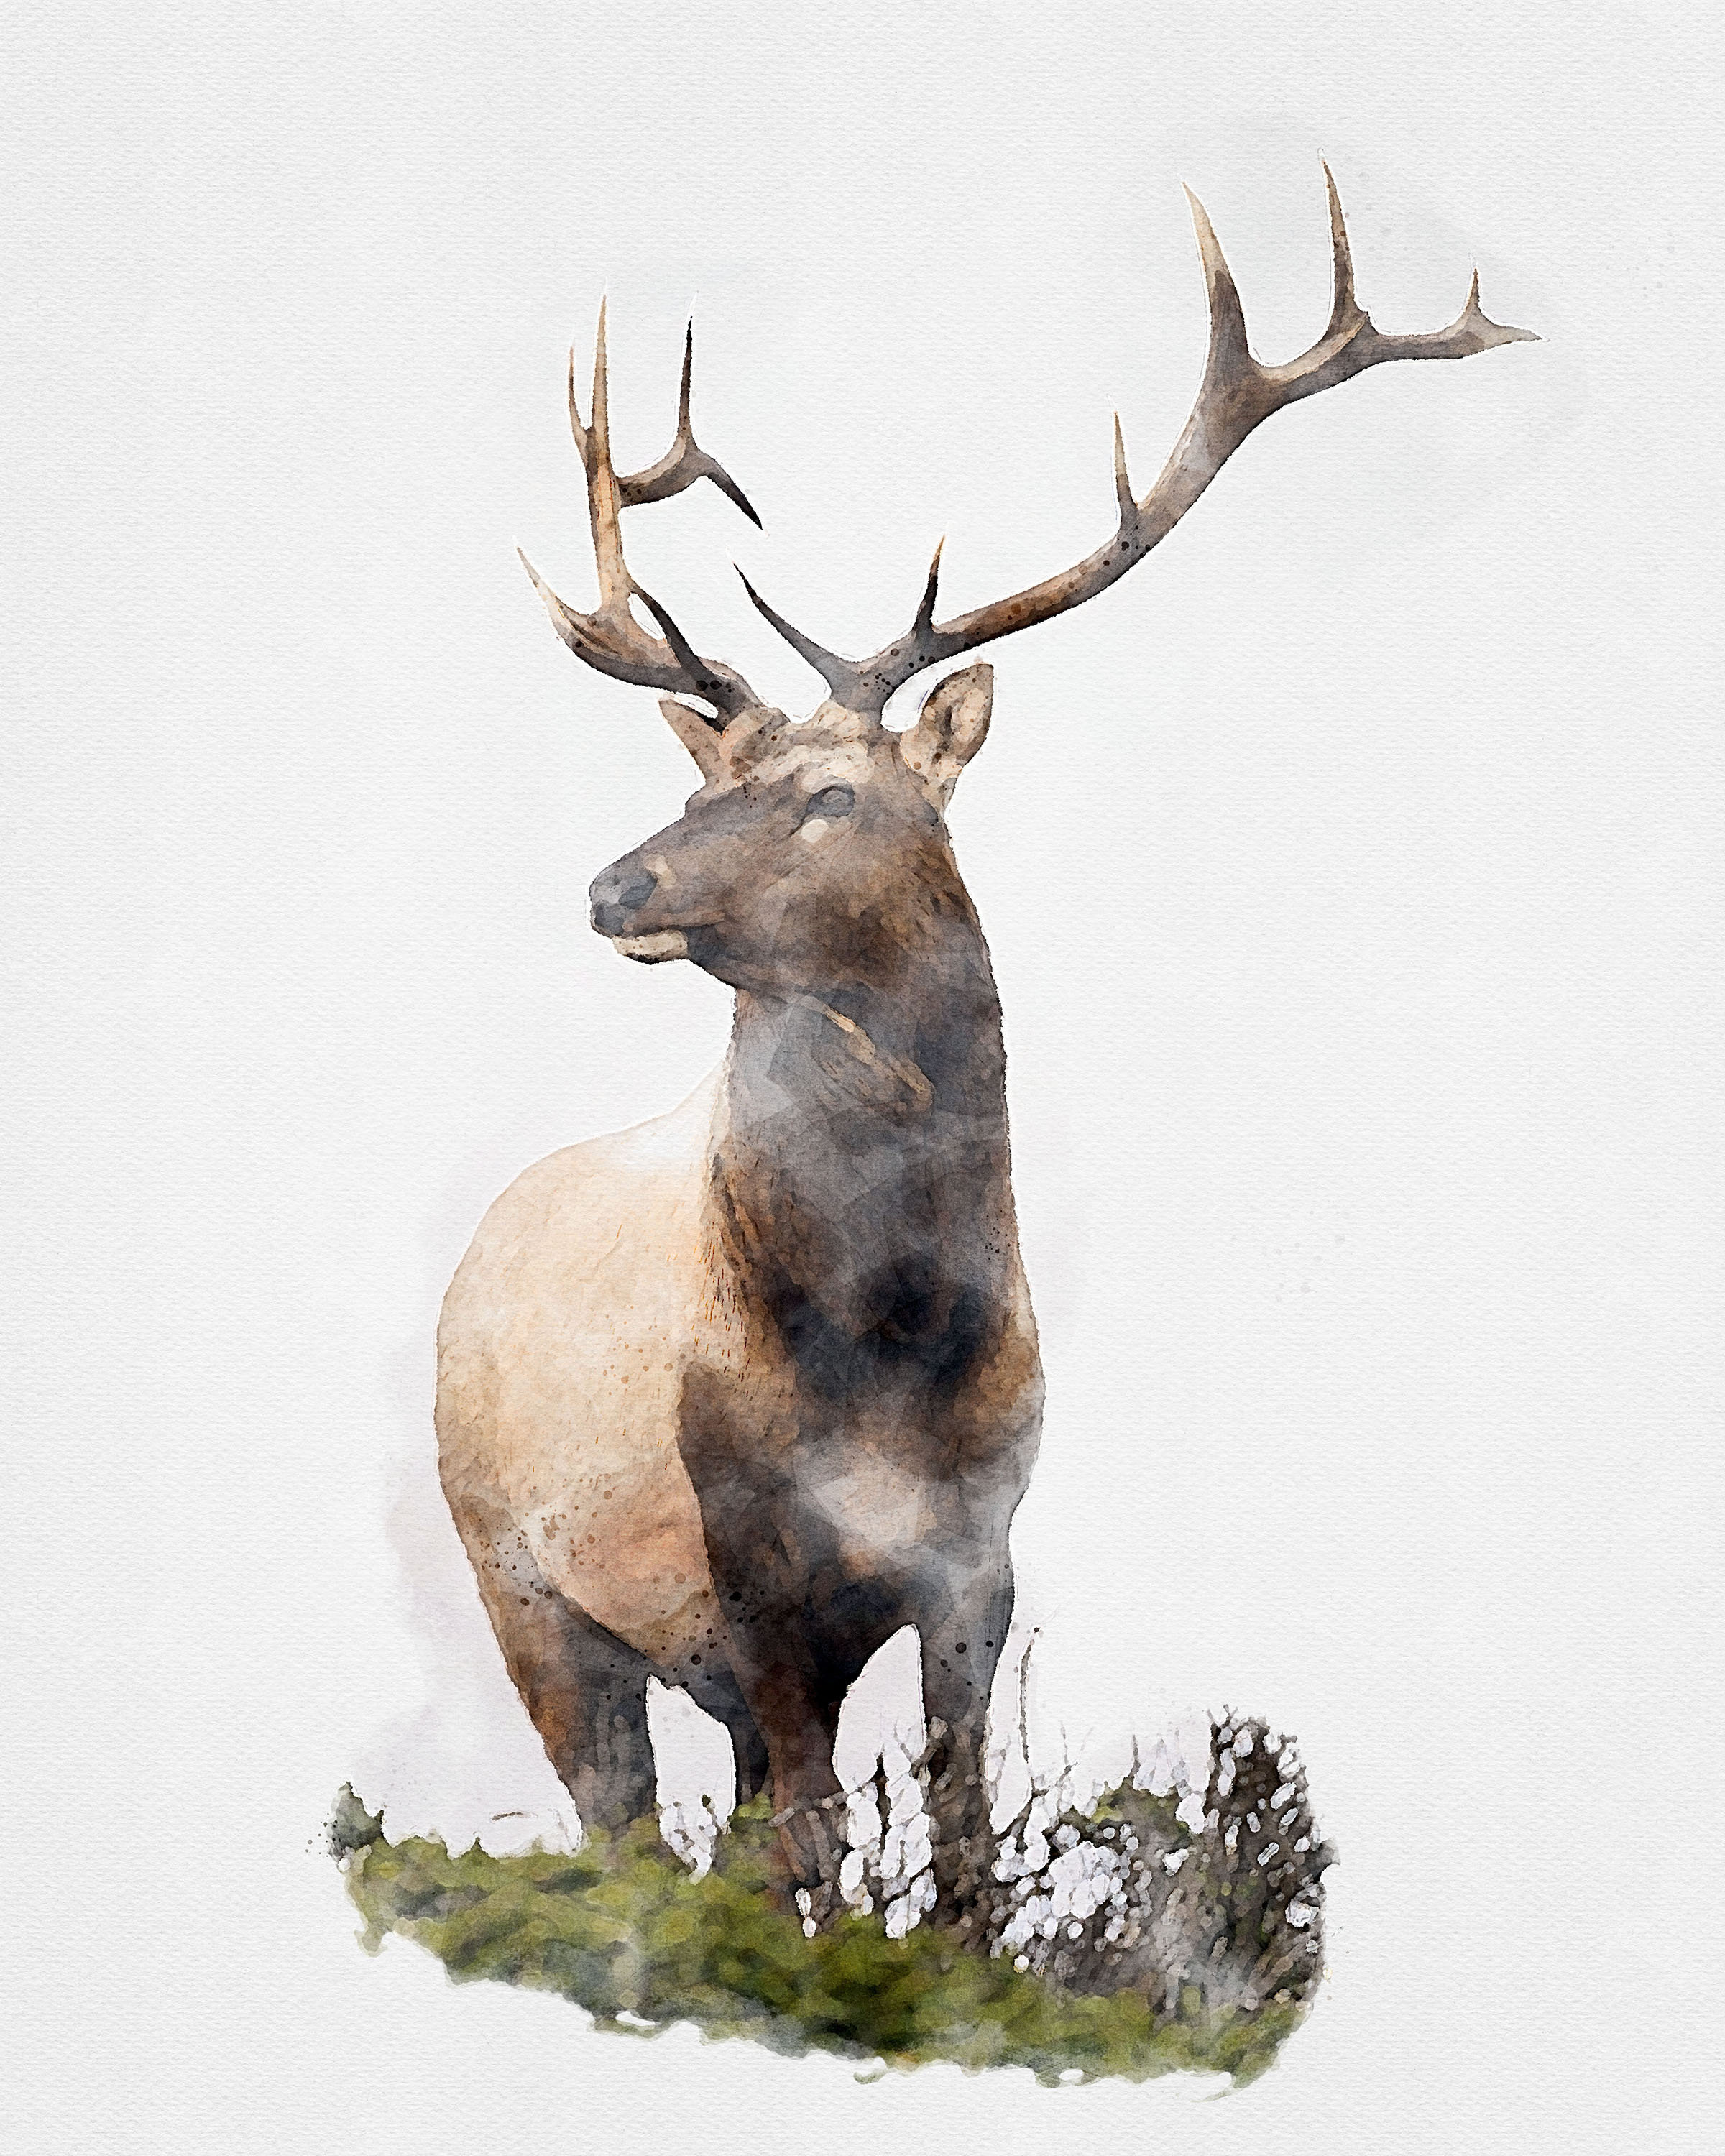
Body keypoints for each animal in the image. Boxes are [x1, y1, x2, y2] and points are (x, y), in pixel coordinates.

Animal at [435, 167, 1533, 1920]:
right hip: (519, 1585)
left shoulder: (978, 1557)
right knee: (629, 1838)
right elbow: (819, 1844)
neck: (889, 1351)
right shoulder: (744, 1562)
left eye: (831, 794)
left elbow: (958, 1842)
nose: (617, 883)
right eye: (699, 783)